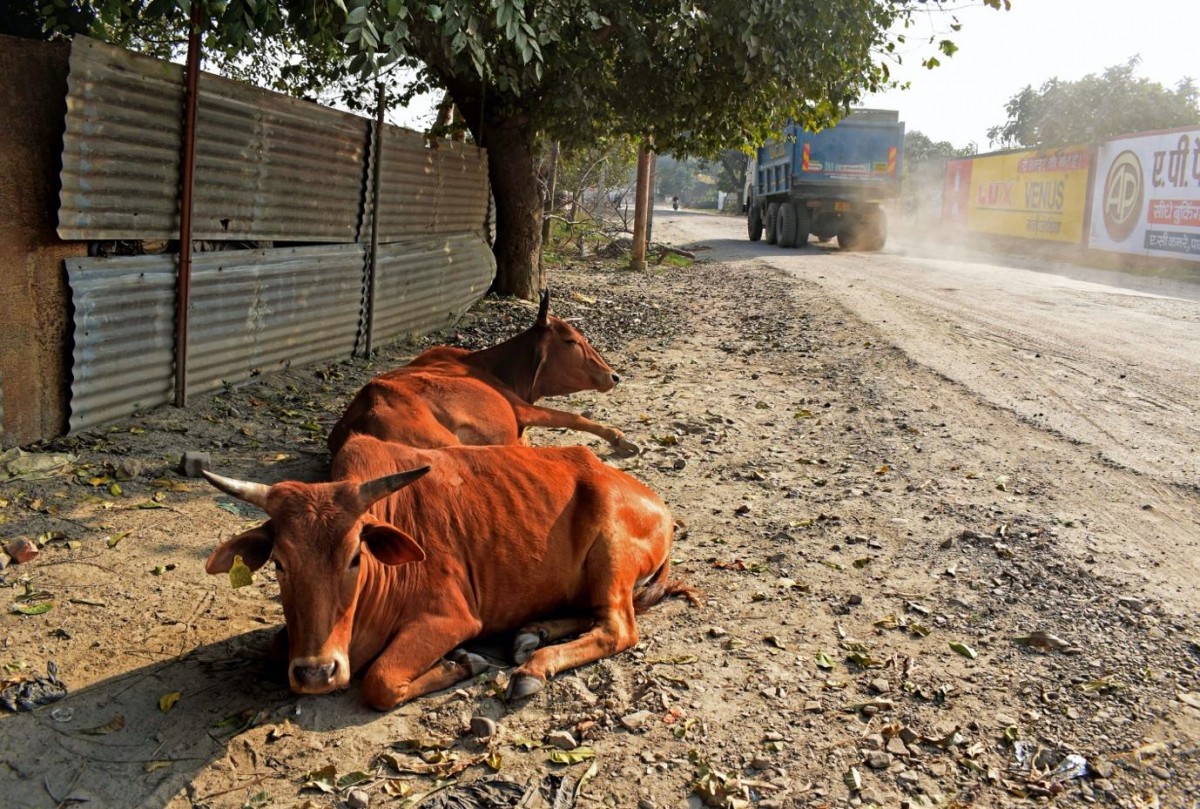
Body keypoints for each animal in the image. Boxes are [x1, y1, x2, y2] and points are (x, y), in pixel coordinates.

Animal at [202, 435, 696, 710]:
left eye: (355, 557)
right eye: (280, 563)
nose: (316, 673)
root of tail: (656, 501)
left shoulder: (451, 617)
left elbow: (379, 682)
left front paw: (463, 662)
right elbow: (273, 647)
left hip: (611, 554)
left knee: (617, 628)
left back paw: (533, 668)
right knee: (592, 615)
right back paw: (531, 632)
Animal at [327, 290, 639, 456]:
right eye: (571, 340)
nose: (614, 376)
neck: (494, 367)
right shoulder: (520, 408)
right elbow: (572, 418)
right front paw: (620, 438)